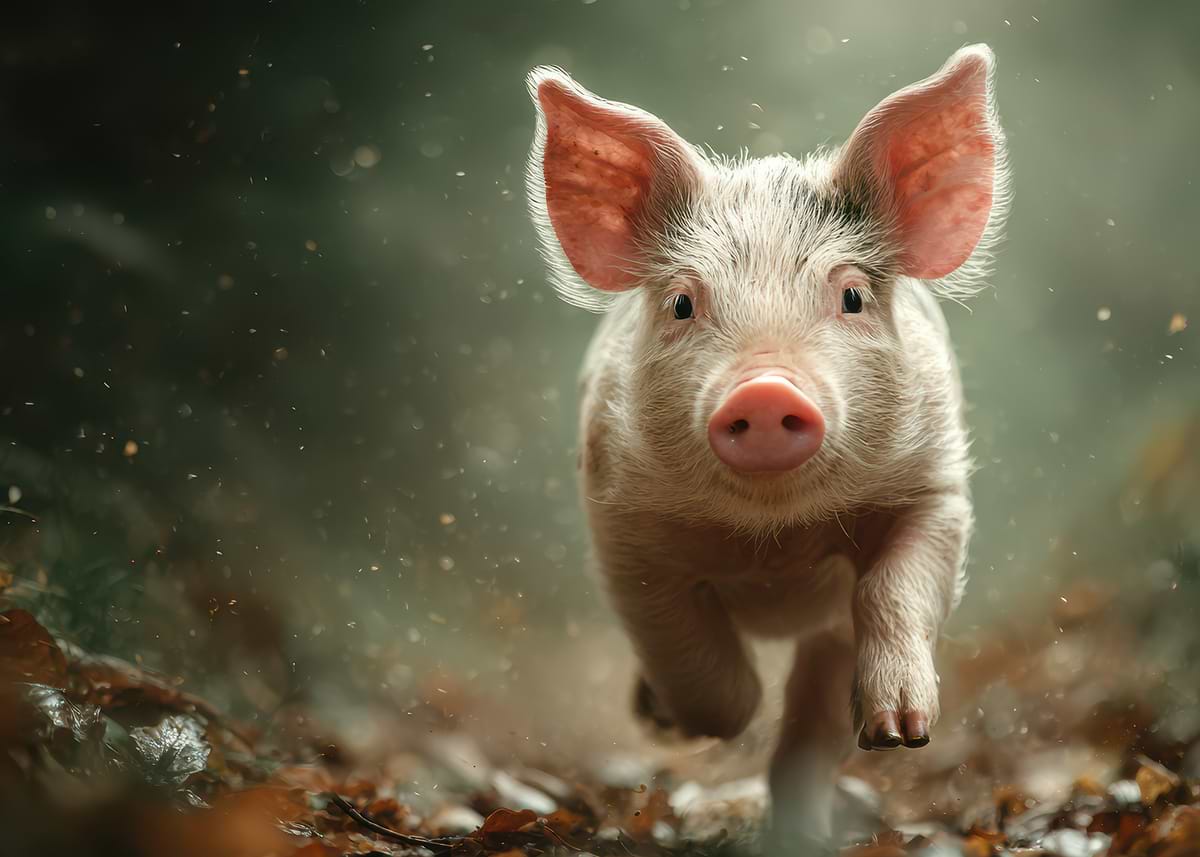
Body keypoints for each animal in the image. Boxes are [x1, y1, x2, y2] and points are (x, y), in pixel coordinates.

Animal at [524, 45, 1007, 850]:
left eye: (851, 296)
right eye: (683, 303)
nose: (765, 390)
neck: (773, 544)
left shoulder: (937, 485)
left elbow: (897, 583)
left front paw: (904, 733)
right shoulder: (620, 522)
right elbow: (693, 656)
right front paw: (688, 721)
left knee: (810, 732)